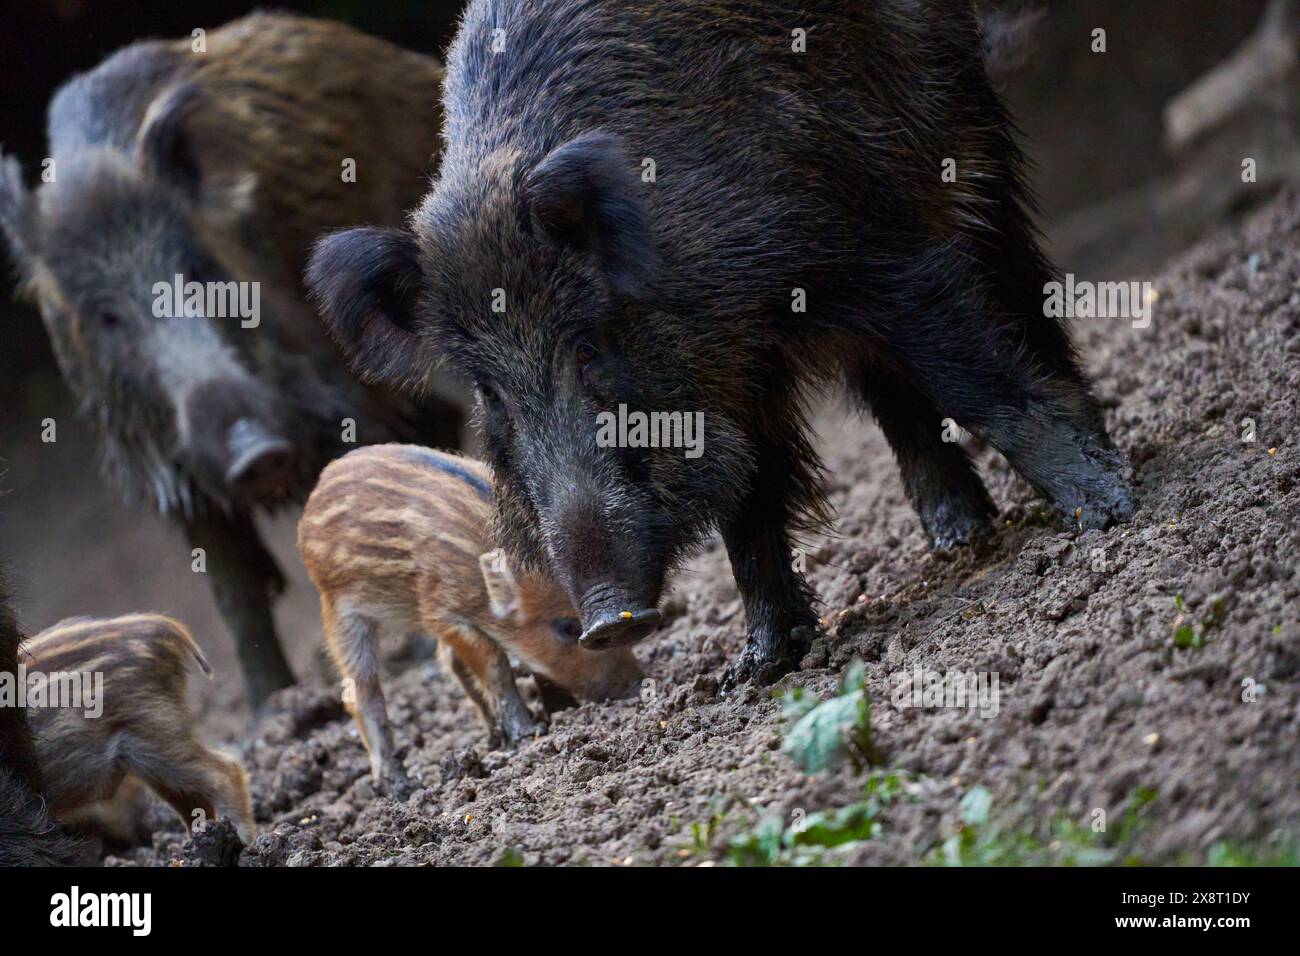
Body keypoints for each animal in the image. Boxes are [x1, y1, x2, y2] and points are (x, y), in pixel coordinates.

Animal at [0, 13, 464, 711]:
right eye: (107, 317)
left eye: (198, 272)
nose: (256, 452)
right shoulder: (172, 476)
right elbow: (234, 591)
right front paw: (267, 709)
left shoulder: (345, 392)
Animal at [298, 445, 644, 791]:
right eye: (568, 627)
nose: (638, 683)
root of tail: (318, 487)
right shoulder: (441, 610)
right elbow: (493, 663)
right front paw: (526, 733)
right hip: (340, 609)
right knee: (360, 691)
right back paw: (399, 784)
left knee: (447, 661)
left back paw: (490, 736)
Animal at [307, 0, 1136, 691]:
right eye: (488, 391)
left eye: (585, 349)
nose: (606, 620)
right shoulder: (732, 374)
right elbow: (748, 505)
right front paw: (754, 672)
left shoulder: (870, 250)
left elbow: (974, 377)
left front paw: (1107, 510)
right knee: (884, 385)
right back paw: (957, 538)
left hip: (959, 129)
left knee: (1007, 278)